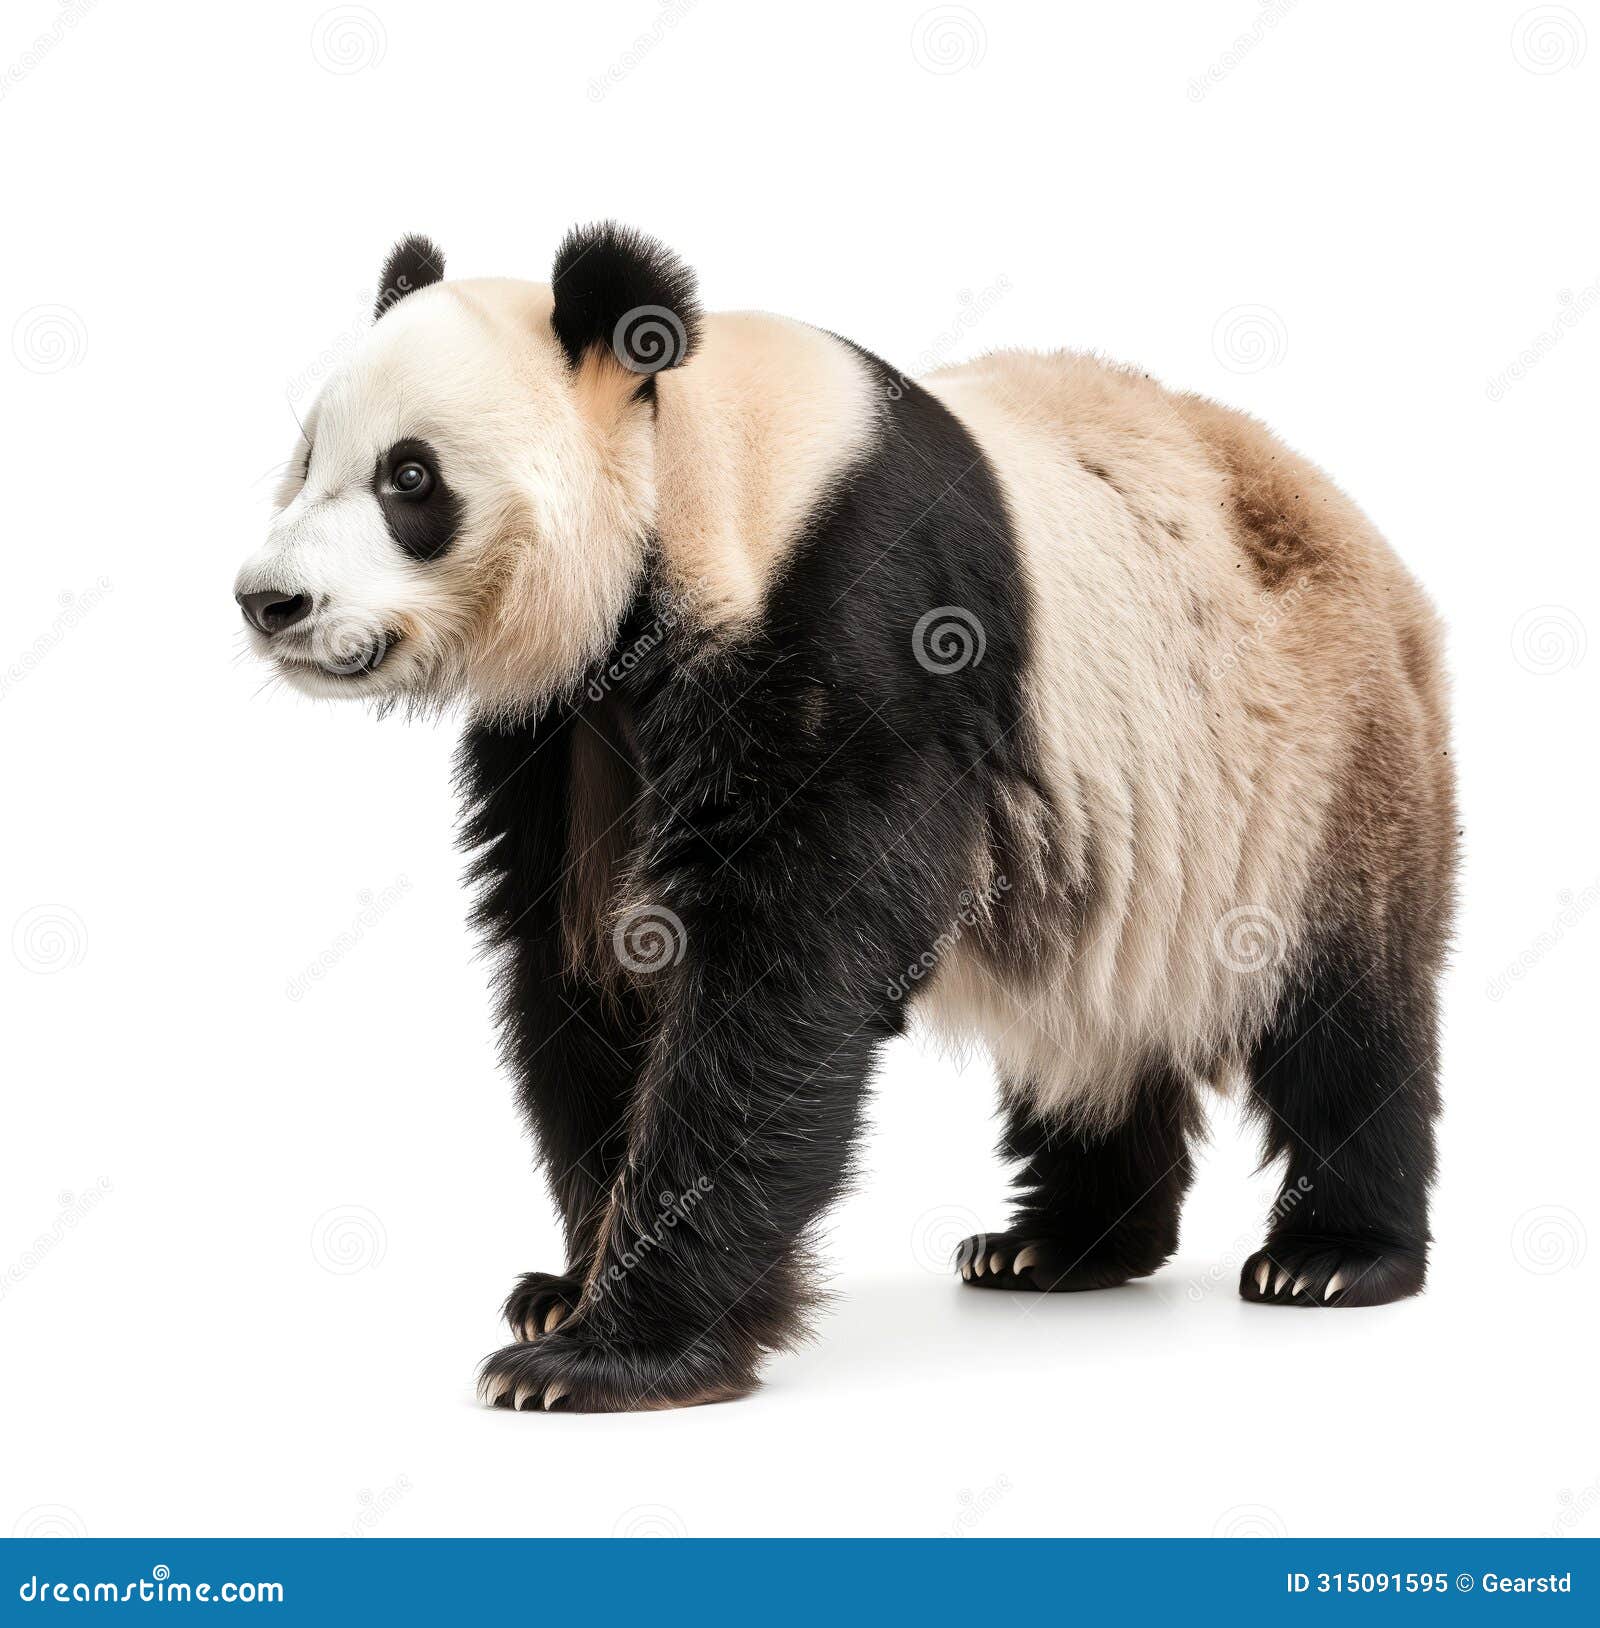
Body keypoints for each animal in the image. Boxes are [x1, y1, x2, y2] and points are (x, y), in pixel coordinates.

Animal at [234, 226, 1456, 1412]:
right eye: (306, 461)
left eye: (409, 476)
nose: (270, 601)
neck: (699, 470)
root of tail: (1383, 563)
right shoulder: (571, 726)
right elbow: (588, 957)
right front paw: (564, 1293)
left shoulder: (860, 622)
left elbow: (785, 963)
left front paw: (611, 1354)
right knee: (1093, 1008)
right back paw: (1063, 1242)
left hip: (1309, 768)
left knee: (1343, 1016)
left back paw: (1331, 1255)